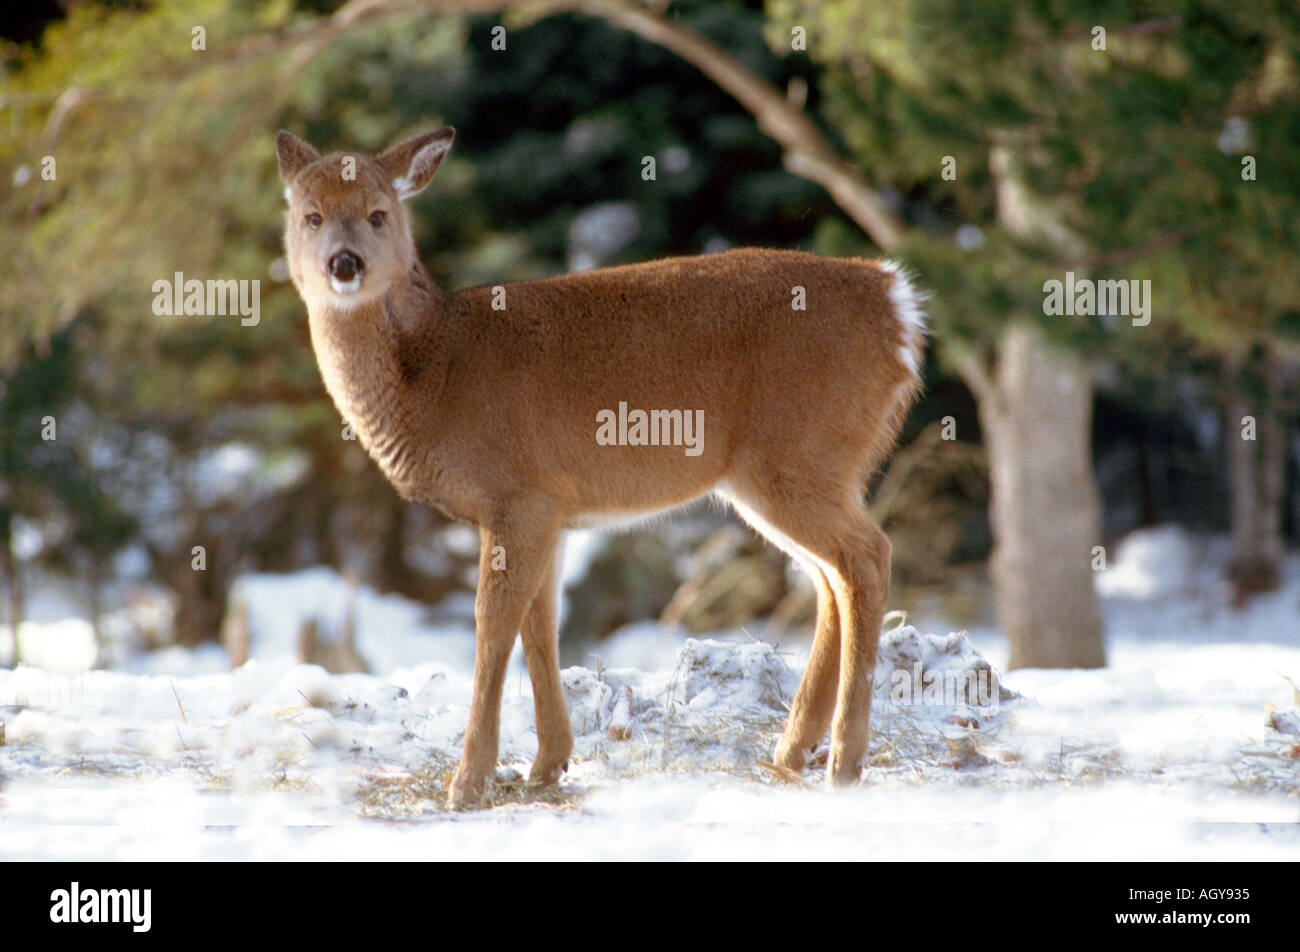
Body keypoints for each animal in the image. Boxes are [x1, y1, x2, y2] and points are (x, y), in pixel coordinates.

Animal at [275, 126, 927, 809]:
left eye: (378, 213)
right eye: (310, 214)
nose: (344, 264)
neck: (435, 373)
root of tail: (898, 306)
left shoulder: (518, 494)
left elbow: (493, 623)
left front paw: (468, 781)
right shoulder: (552, 510)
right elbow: (541, 625)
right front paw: (546, 765)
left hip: (798, 456)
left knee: (866, 558)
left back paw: (844, 761)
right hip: (798, 472)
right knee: (830, 580)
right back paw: (792, 751)